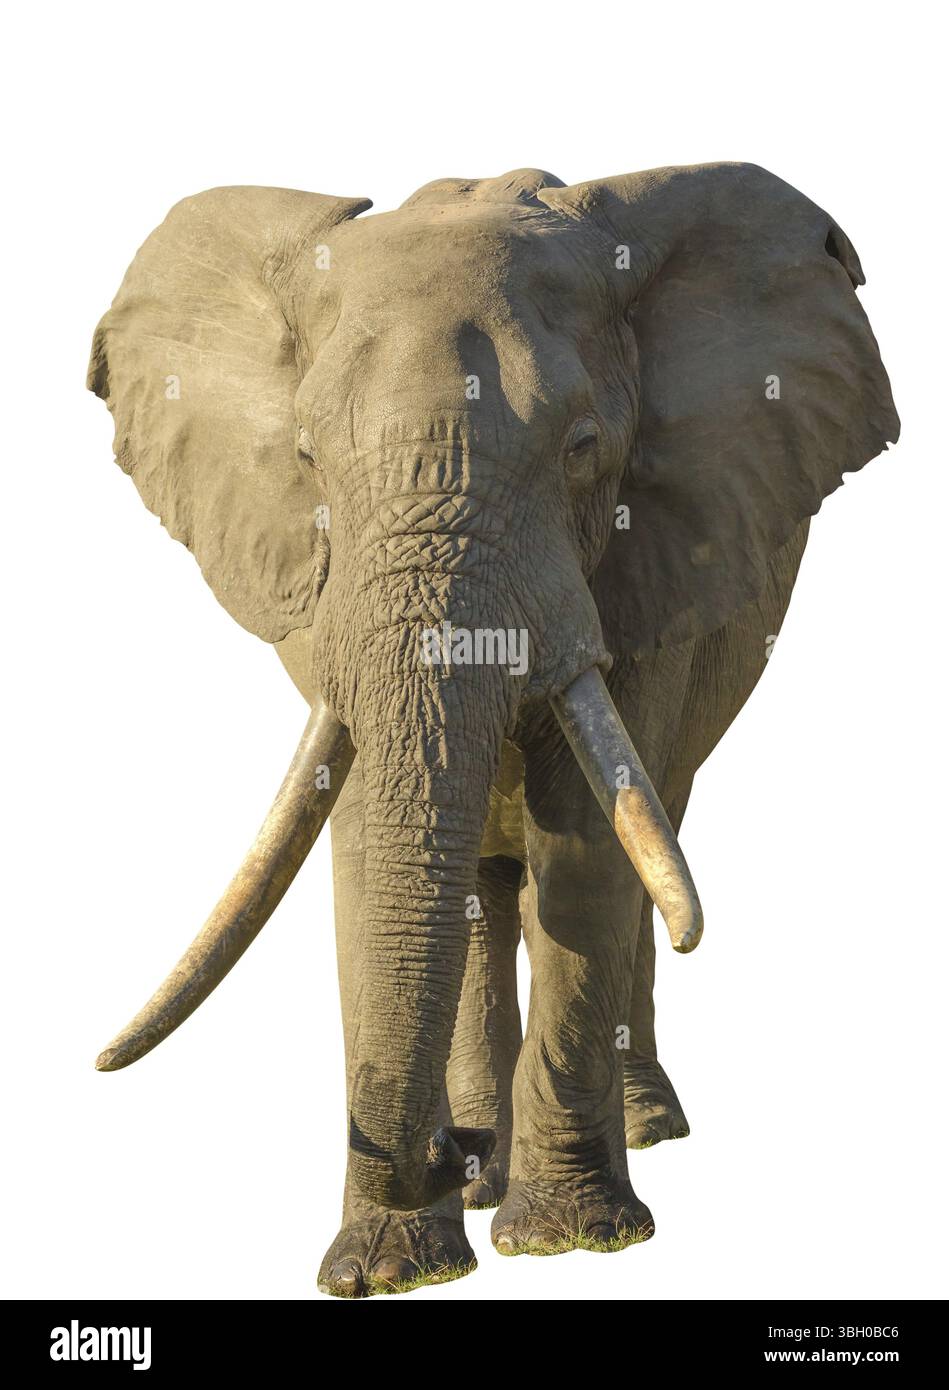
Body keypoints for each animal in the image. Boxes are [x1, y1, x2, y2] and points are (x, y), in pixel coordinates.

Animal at [88, 163, 899, 1298]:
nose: (442, 1156)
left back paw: (625, 1132)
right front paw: (390, 1267)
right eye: (306, 456)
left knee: (642, 832)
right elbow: (359, 839)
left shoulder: (644, 564)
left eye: (583, 450)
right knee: (480, 882)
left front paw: (569, 1240)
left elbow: (587, 841)